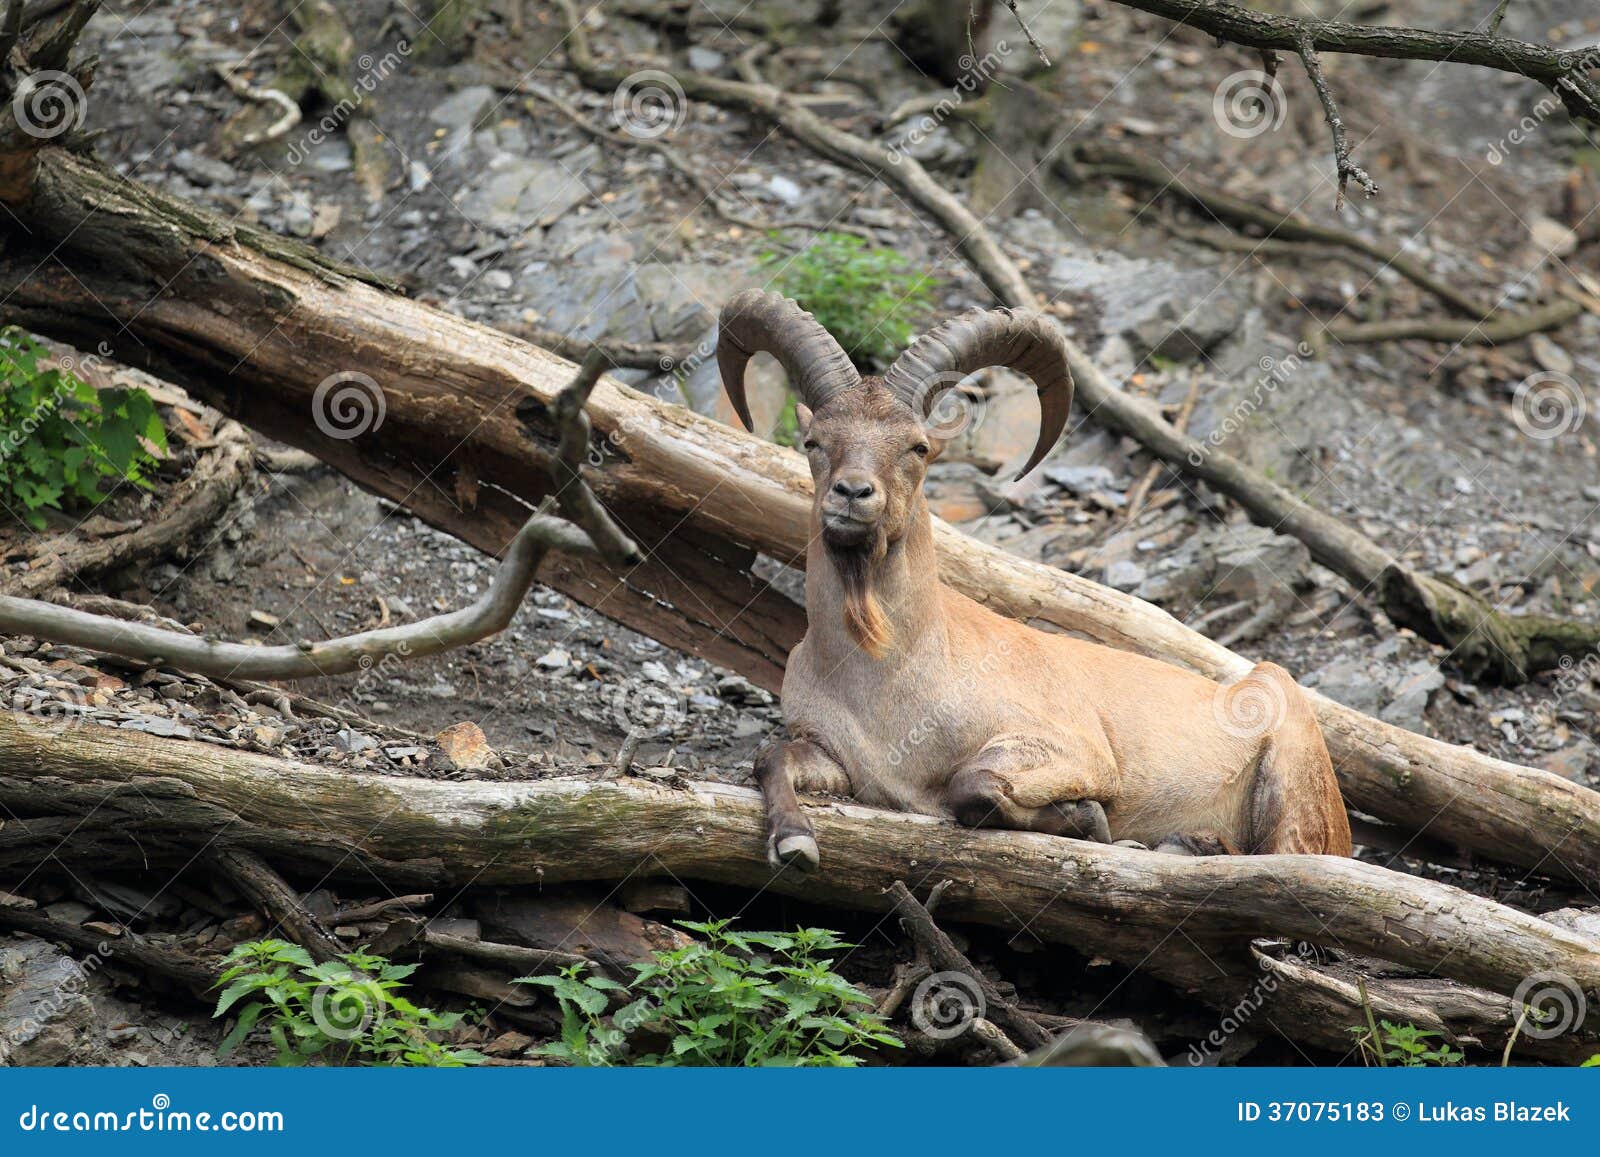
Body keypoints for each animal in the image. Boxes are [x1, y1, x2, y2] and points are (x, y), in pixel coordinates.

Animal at [717, 290, 1352, 870]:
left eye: (918, 447)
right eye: (814, 442)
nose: (852, 494)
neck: (889, 676)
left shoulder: (1076, 752)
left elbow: (973, 784)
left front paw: (1088, 819)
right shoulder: (836, 758)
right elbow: (770, 757)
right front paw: (794, 841)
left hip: (1293, 783)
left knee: (1287, 854)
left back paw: (1190, 842)